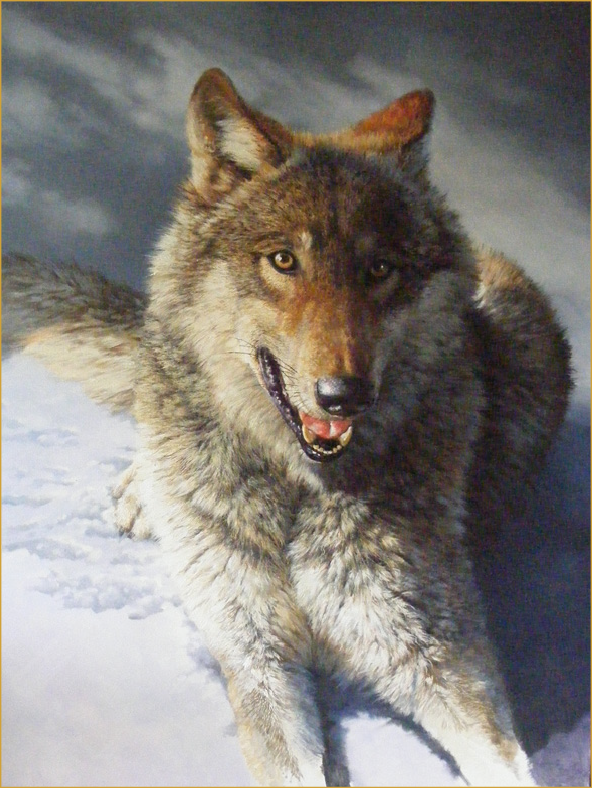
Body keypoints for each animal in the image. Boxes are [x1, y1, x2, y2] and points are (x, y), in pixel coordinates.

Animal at [2, 69, 571, 787]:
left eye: (380, 270)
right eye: (282, 261)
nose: (345, 396)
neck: (298, 494)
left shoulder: (442, 662)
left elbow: (504, 762)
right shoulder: (256, 656)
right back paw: (142, 488)